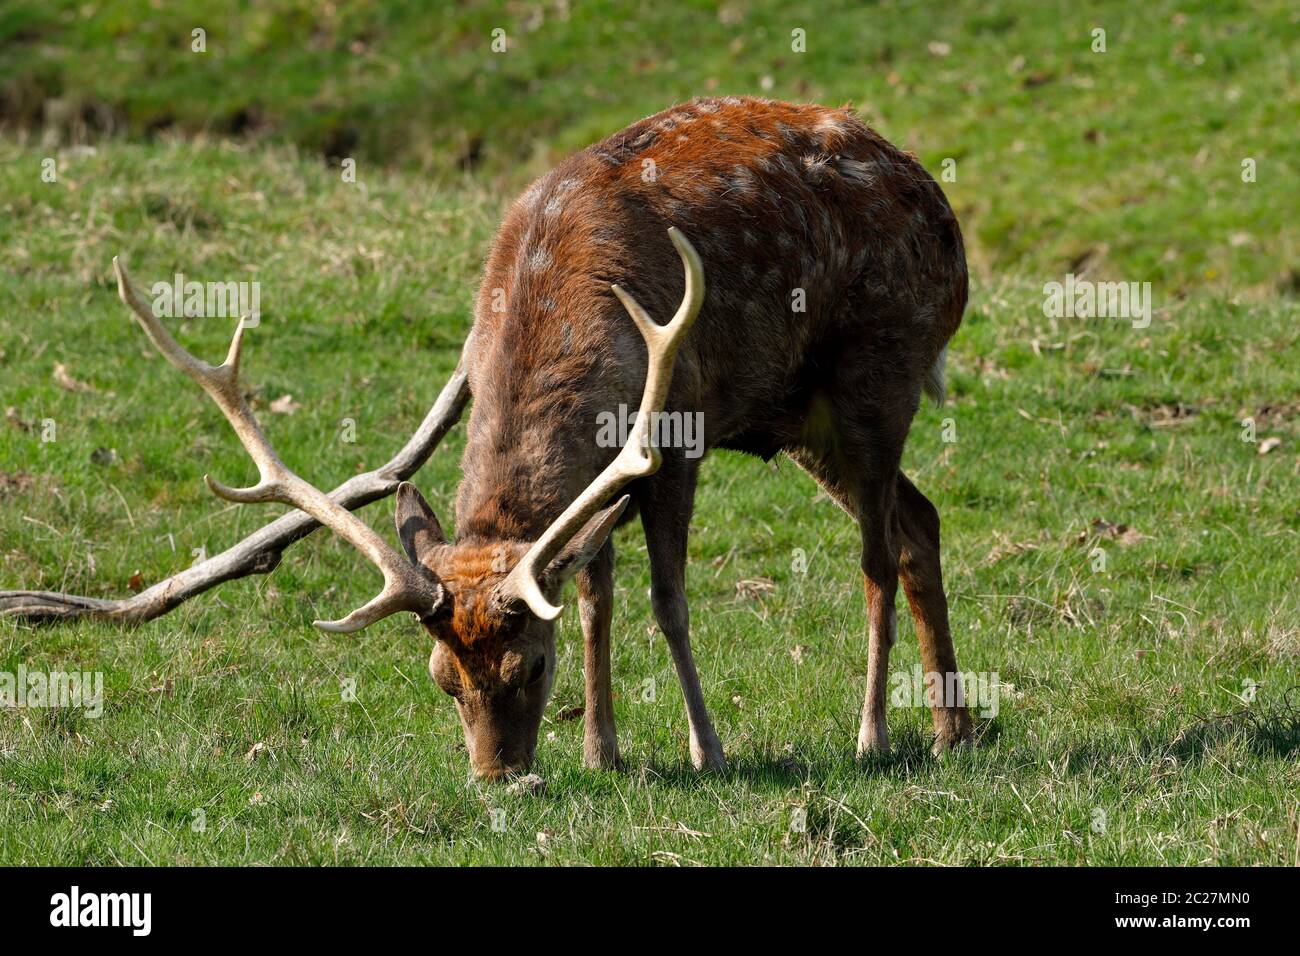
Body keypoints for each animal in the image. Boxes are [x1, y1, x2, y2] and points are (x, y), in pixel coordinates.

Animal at [101, 95, 973, 780]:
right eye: (442, 678)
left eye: (531, 669)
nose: (496, 777)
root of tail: (943, 214)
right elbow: (592, 596)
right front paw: (602, 751)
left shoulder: (678, 429)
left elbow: (668, 600)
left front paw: (708, 750)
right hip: (799, 417)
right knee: (919, 520)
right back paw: (951, 729)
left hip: (879, 372)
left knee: (875, 556)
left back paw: (874, 734)